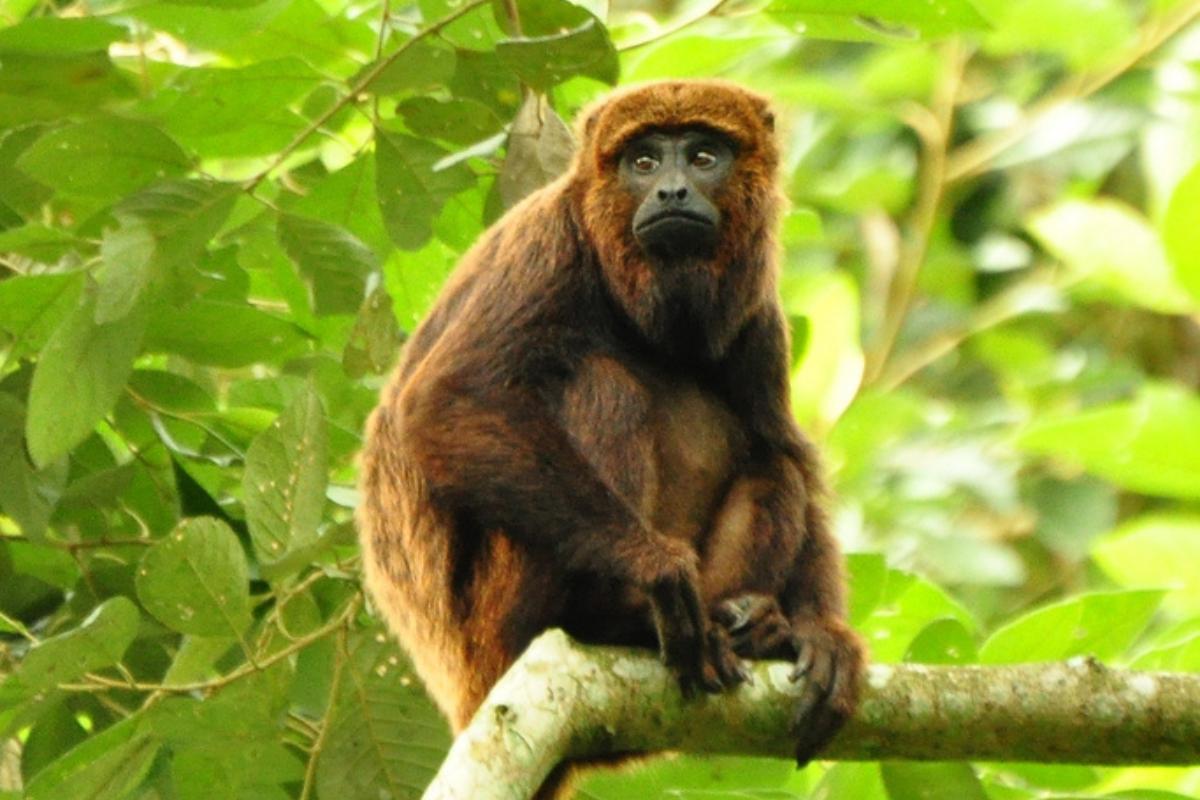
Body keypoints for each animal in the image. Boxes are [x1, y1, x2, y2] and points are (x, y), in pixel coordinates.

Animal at [357, 80, 864, 794]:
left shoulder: (759, 310)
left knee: (775, 471)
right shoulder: (547, 243)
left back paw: (754, 626)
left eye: (704, 155)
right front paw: (655, 568)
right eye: (643, 161)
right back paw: (616, 616)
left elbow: (787, 451)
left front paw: (820, 632)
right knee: (602, 384)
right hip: (497, 630)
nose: (673, 191)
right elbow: (446, 403)